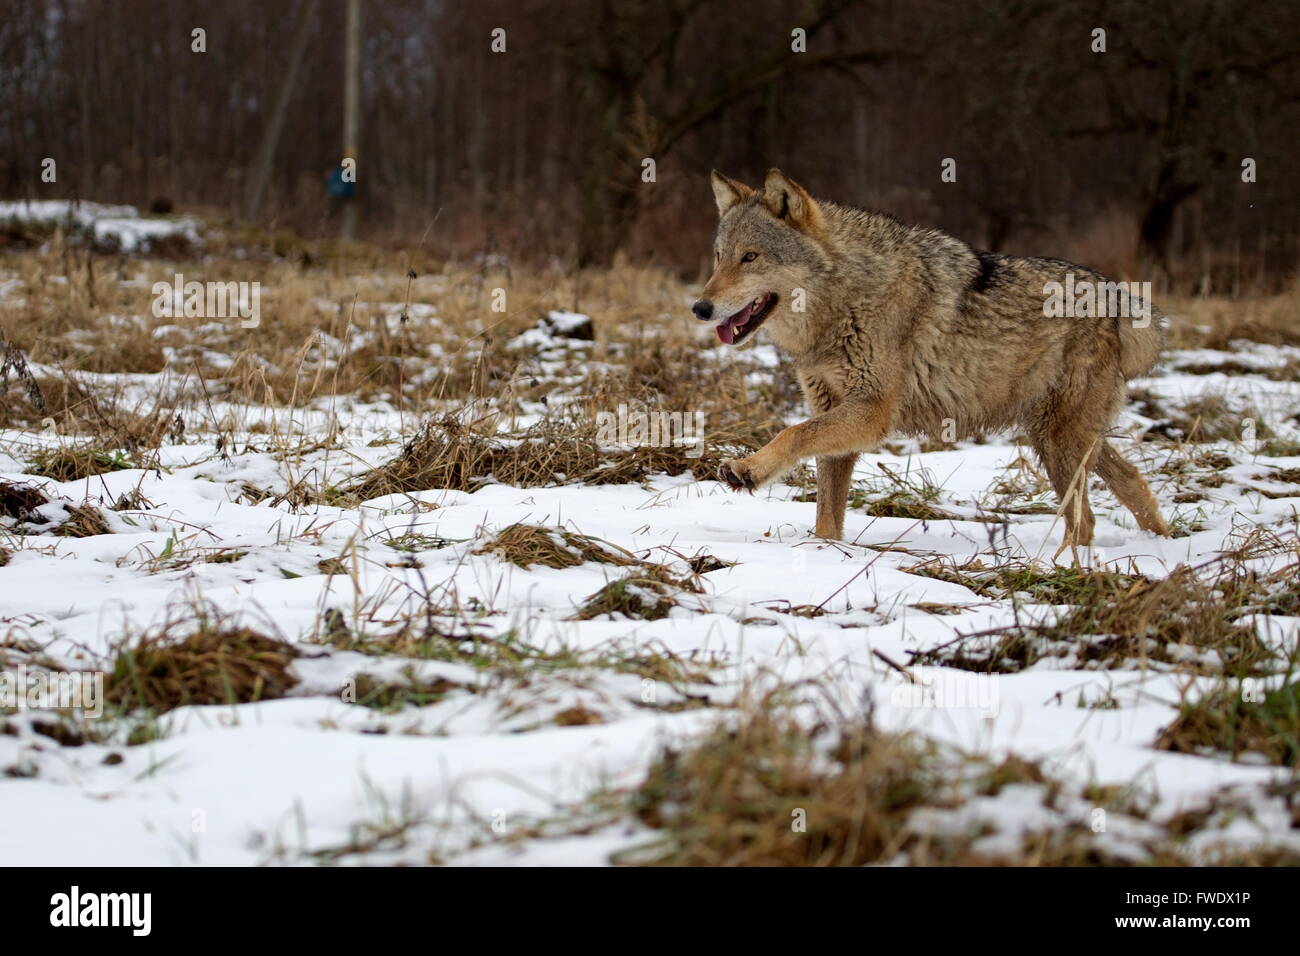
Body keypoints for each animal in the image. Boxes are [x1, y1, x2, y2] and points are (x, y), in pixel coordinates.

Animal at [694, 168, 1170, 548]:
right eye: (718, 257)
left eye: (750, 257)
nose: (700, 308)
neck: (847, 295)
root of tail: (1115, 294)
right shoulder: (832, 409)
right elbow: (827, 511)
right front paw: (825, 553)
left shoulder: (871, 412)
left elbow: (792, 433)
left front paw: (748, 468)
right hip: (1058, 437)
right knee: (1131, 480)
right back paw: (1162, 548)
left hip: (1057, 441)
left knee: (1084, 520)